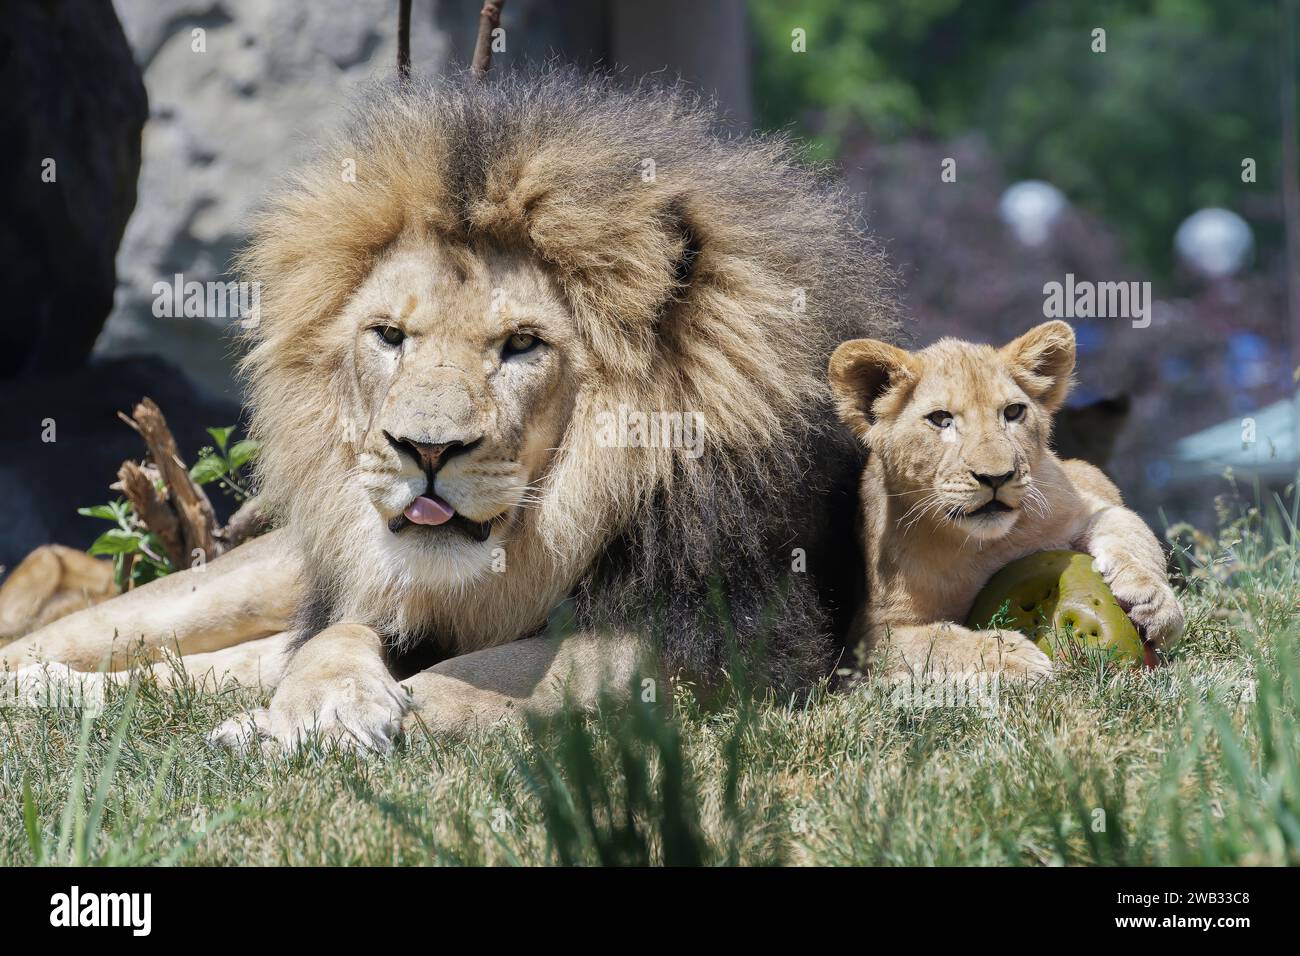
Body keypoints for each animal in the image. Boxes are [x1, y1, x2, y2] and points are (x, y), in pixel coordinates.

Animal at [0, 70, 894, 749]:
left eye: (523, 344)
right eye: (391, 336)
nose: (424, 451)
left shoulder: (733, 636)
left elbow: (511, 673)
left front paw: (292, 723)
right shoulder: (367, 597)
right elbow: (335, 637)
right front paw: (321, 708)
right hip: (230, 583)